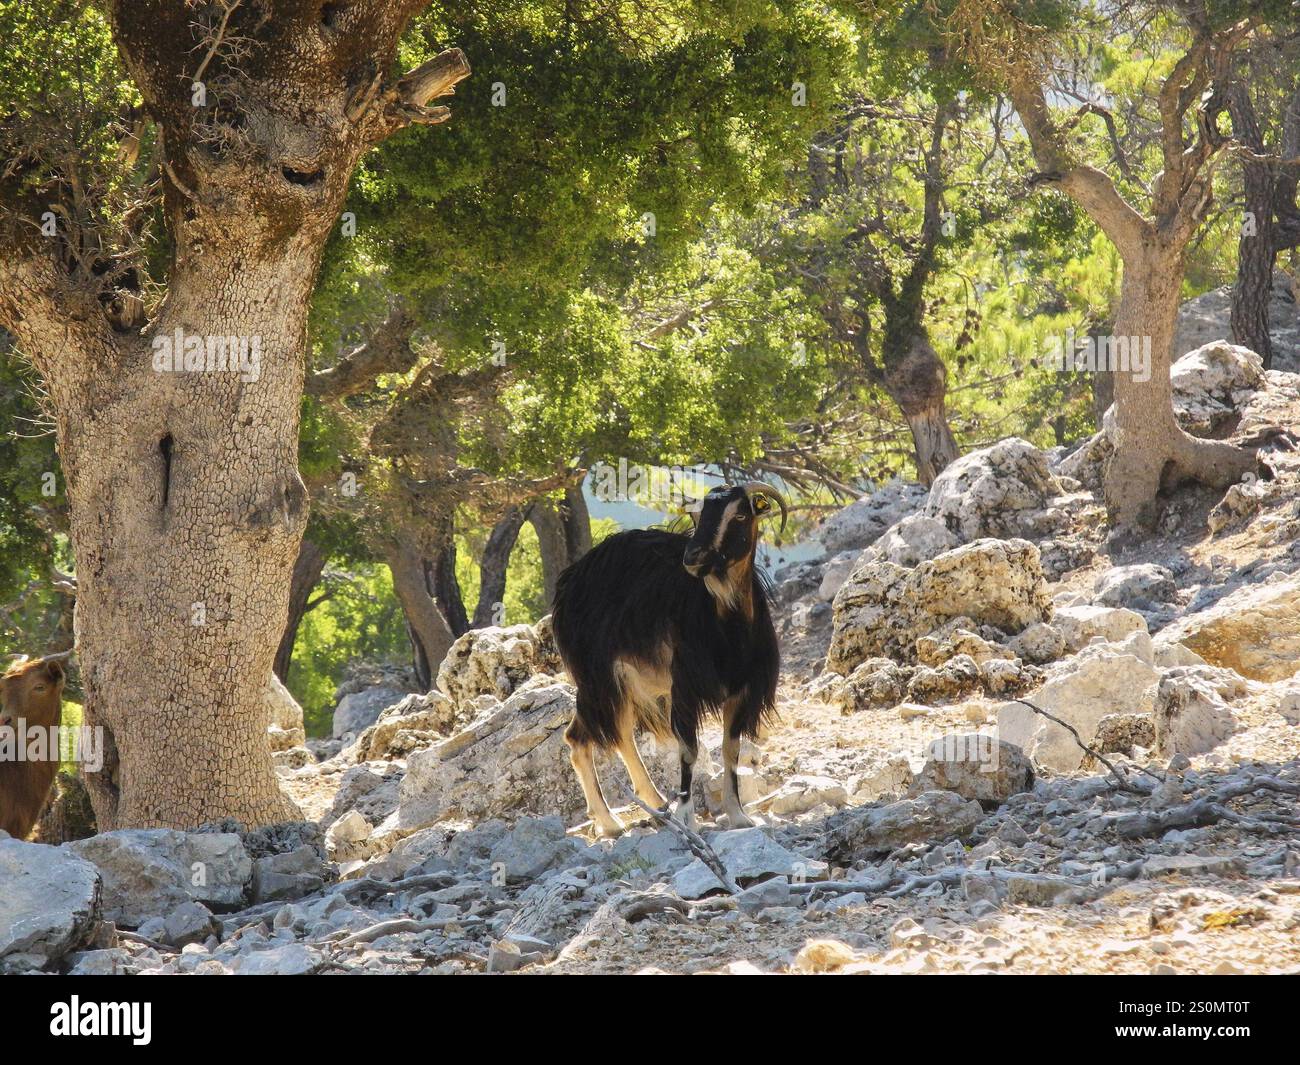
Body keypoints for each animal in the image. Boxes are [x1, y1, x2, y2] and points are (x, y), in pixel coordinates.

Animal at [551, 482, 786, 837]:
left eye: (740, 515)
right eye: (696, 515)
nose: (693, 557)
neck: (729, 629)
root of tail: (571, 580)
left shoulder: (741, 692)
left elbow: (731, 749)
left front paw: (739, 815)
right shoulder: (684, 688)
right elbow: (689, 750)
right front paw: (687, 817)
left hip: (625, 682)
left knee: (620, 735)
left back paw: (656, 804)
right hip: (598, 680)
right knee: (580, 737)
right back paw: (611, 822)